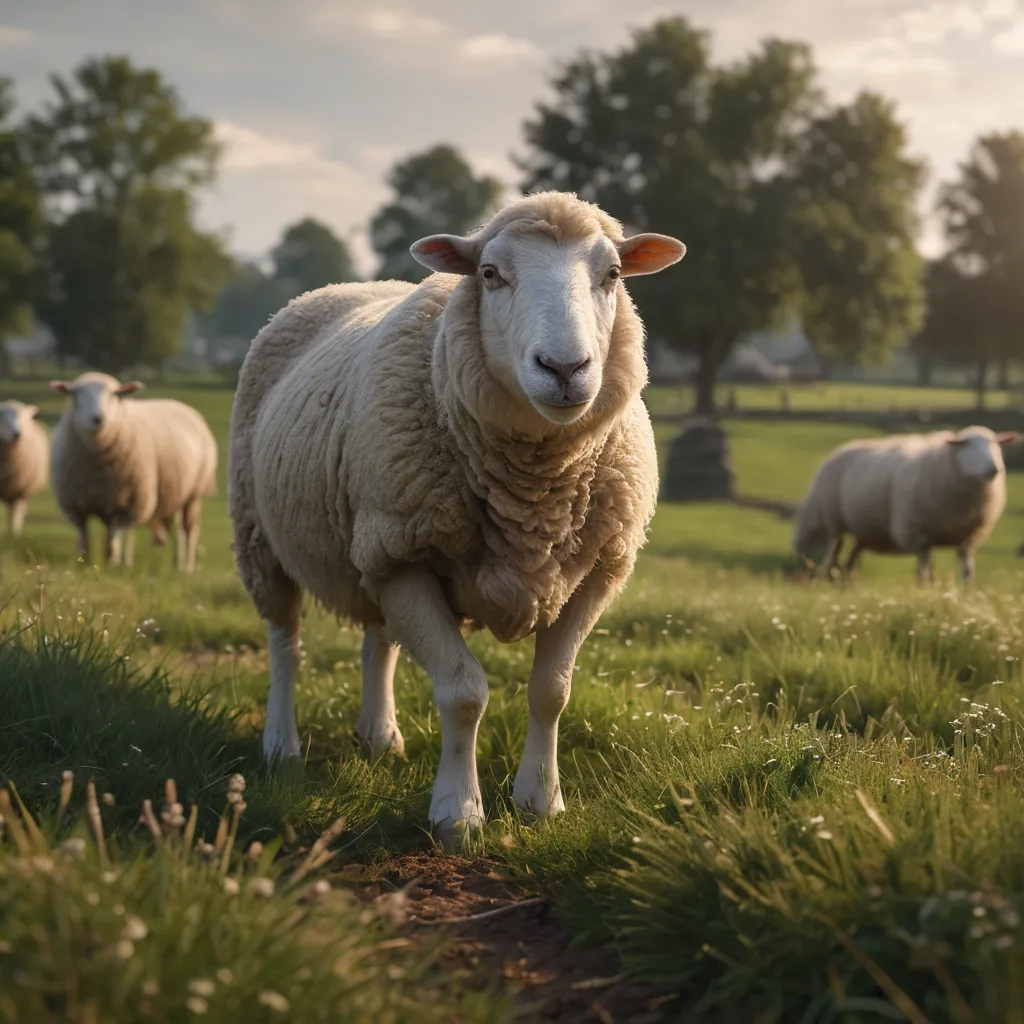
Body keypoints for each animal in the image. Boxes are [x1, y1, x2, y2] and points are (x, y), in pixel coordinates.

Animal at [0, 400, 50, 536]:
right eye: (2, 417)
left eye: (22, 418)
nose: (17, 434)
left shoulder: (22, 489)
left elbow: (17, 512)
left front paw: (15, 534)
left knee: (16, 510)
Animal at [49, 372, 218, 571]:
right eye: (75, 394)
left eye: (114, 395)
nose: (98, 418)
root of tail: (179, 404)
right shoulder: (76, 506)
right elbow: (84, 536)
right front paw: (84, 562)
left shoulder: (128, 502)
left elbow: (117, 535)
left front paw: (115, 564)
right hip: (173, 492)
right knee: (175, 530)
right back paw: (175, 563)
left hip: (193, 493)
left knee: (189, 530)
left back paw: (186, 567)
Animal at [229, 191, 686, 843]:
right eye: (490, 274)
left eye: (614, 275)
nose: (565, 368)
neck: (535, 491)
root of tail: (345, 286)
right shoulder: (408, 563)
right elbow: (463, 693)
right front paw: (459, 813)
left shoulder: (597, 571)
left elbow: (552, 692)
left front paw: (540, 801)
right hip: (265, 536)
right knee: (284, 644)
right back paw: (280, 744)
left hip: (374, 538)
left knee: (379, 642)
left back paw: (379, 737)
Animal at [793, 426, 1016, 583]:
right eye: (967, 445)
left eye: (995, 445)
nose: (994, 468)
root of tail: (843, 448)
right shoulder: (918, 537)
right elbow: (923, 572)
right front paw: (925, 590)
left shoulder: (967, 540)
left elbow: (967, 573)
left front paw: (965, 594)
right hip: (835, 523)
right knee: (833, 557)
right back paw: (833, 580)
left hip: (862, 531)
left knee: (851, 561)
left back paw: (849, 585)